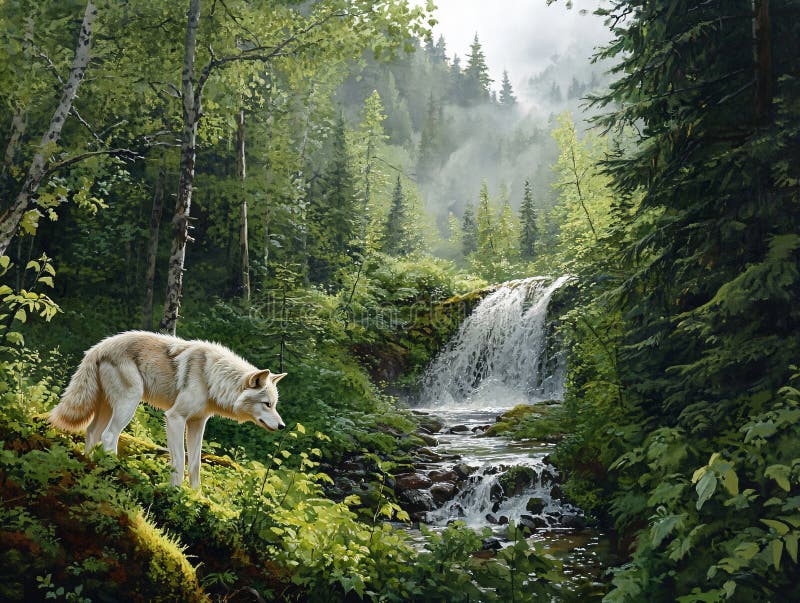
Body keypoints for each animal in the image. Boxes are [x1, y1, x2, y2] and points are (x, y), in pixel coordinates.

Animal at [49, 331, 287, 488]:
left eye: (274, 404)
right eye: (267, 404)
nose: (283, 426)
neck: (212, 377)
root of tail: (97, 347)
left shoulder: (198, 423)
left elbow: (195, 465)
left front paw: (196, 496)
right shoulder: (175, 418)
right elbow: (179, 460)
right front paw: (176, 492)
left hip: (108, 406)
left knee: (92, 432)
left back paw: (90, 463)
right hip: (129, 402)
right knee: (109, 435)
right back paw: (114, 468)